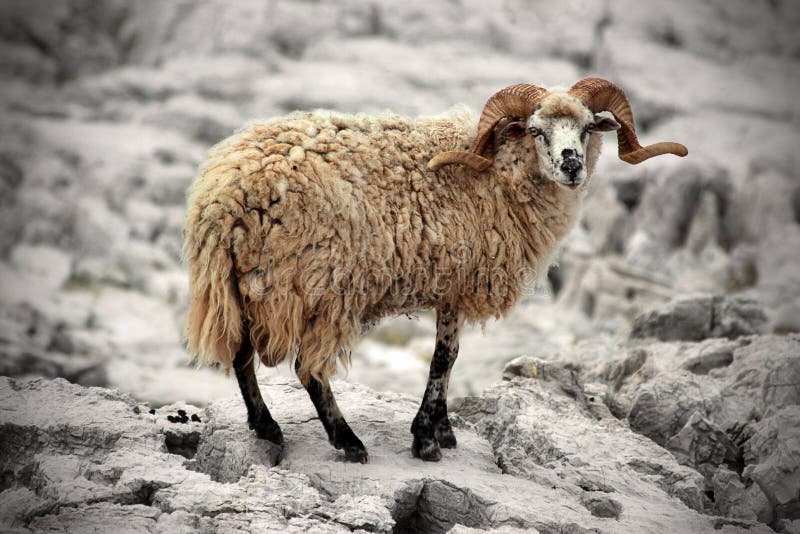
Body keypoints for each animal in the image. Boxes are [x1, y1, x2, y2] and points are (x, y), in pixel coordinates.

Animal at [183, 77, 687, 463]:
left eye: (586, 128)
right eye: (536, 130)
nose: (572, 165)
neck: (497, 173)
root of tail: (223, 198)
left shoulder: (452, 288)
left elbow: (452, 357)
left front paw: (442, 430)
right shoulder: (458, 280)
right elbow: (443, 359)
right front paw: (426, 440)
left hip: (244, 282)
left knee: (240, 352)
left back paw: (265, 426)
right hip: (318, 284)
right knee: (308, 368)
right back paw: (348, 441)